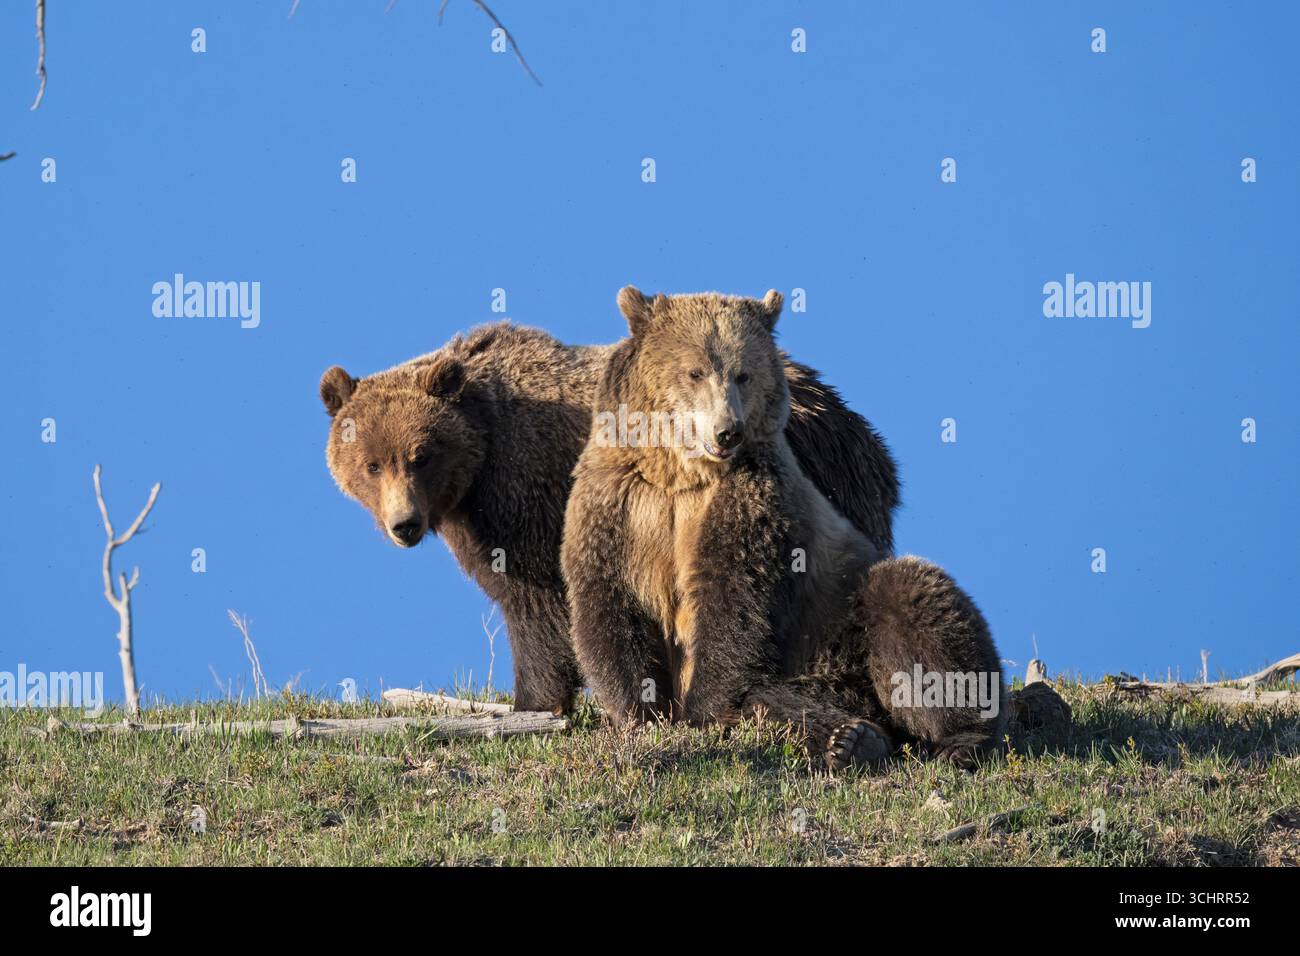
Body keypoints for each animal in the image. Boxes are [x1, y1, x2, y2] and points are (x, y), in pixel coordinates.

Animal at [320, 321, 899, 714]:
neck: (478, 461)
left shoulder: (529, 492)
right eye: (372, 463)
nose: (404, 525)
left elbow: (535, 604)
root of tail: (862, 430)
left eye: (421, 455)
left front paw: (533, 702)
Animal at [561, 288, 1004, 769]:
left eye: (743, 373)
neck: (681, 473)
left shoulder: (754, 499)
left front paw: (698, 713)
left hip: (838, 626)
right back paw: (852, 738)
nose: (728, 431)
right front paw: (640, 716)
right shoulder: (619, 503)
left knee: (910, 602)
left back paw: (951, 741)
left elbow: (733, 603)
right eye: (695, 371)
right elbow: (611, 604)